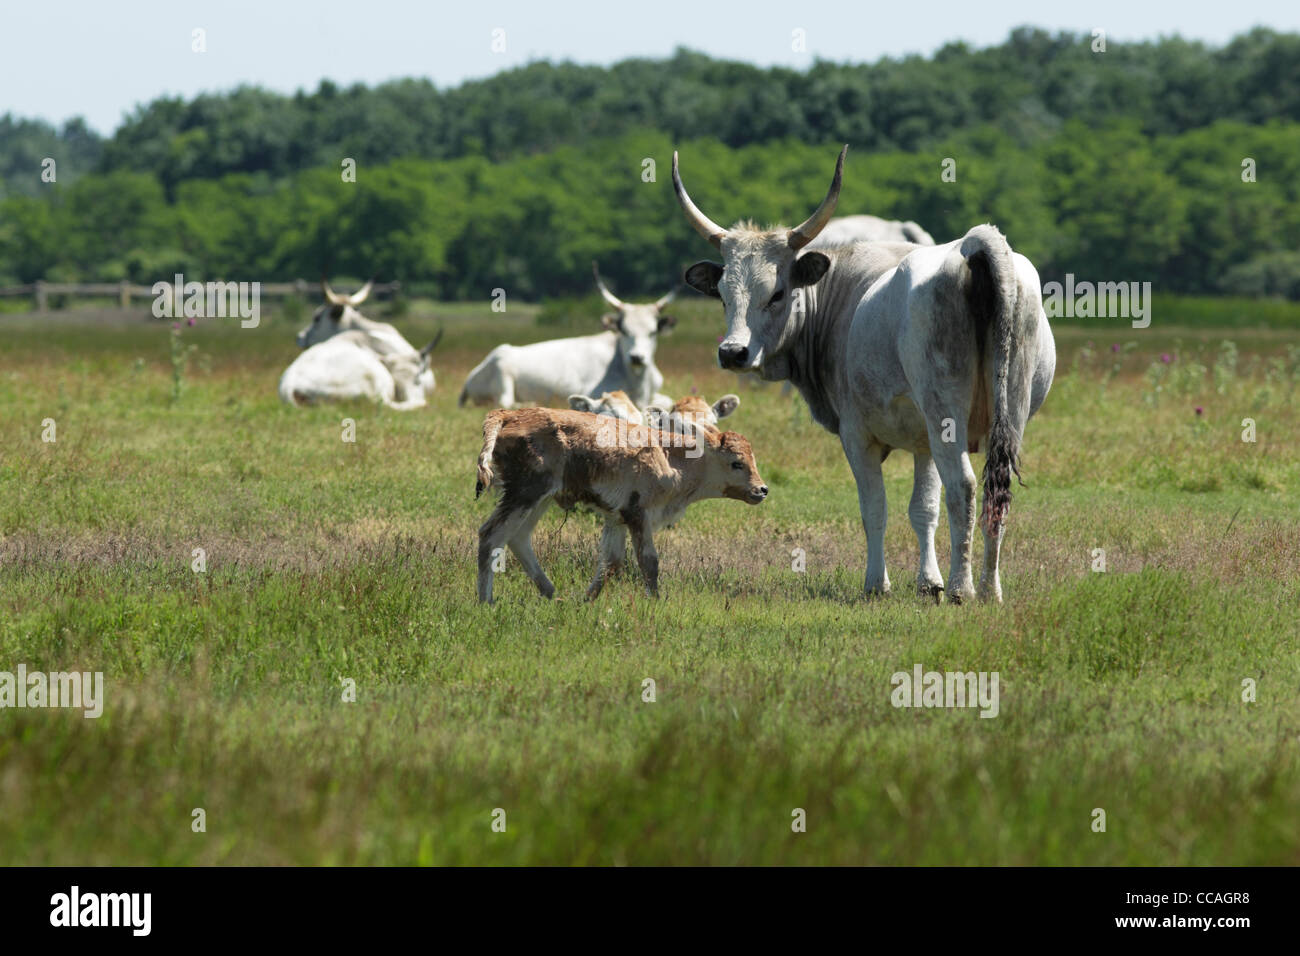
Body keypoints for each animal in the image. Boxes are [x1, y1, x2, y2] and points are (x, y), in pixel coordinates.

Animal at [459, 262, 675, 411]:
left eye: (653, 332)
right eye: (624, 330)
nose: (637, 357)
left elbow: (669, 401)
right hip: (502, 370)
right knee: (506, 401)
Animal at [473, 408, 767, 603]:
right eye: (736, 463)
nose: (761, 490)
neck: (671, 456)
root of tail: (509, 414)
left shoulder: (616, 518)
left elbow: (611, 563)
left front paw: (586, 600)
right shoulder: (639, 515)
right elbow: (649, 562)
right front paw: (655, 602)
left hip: (539, 499)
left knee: (518, 538)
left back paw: (550, 593)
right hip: (525, 494)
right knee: (491, 535)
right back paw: (486, 602)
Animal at [672, 146, 1056, 604]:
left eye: (778, 293)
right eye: (723, 295)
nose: (733, 352)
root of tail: (974, 245)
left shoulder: (857, 434)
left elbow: (875, 508)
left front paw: (878, 583)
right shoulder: (923, 440)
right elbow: (923, 508)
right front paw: (927, 583)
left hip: (946, 411)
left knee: (963, 487)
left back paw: (963, 589)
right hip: (1010, 411)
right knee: (998, 491)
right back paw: (990, 589)